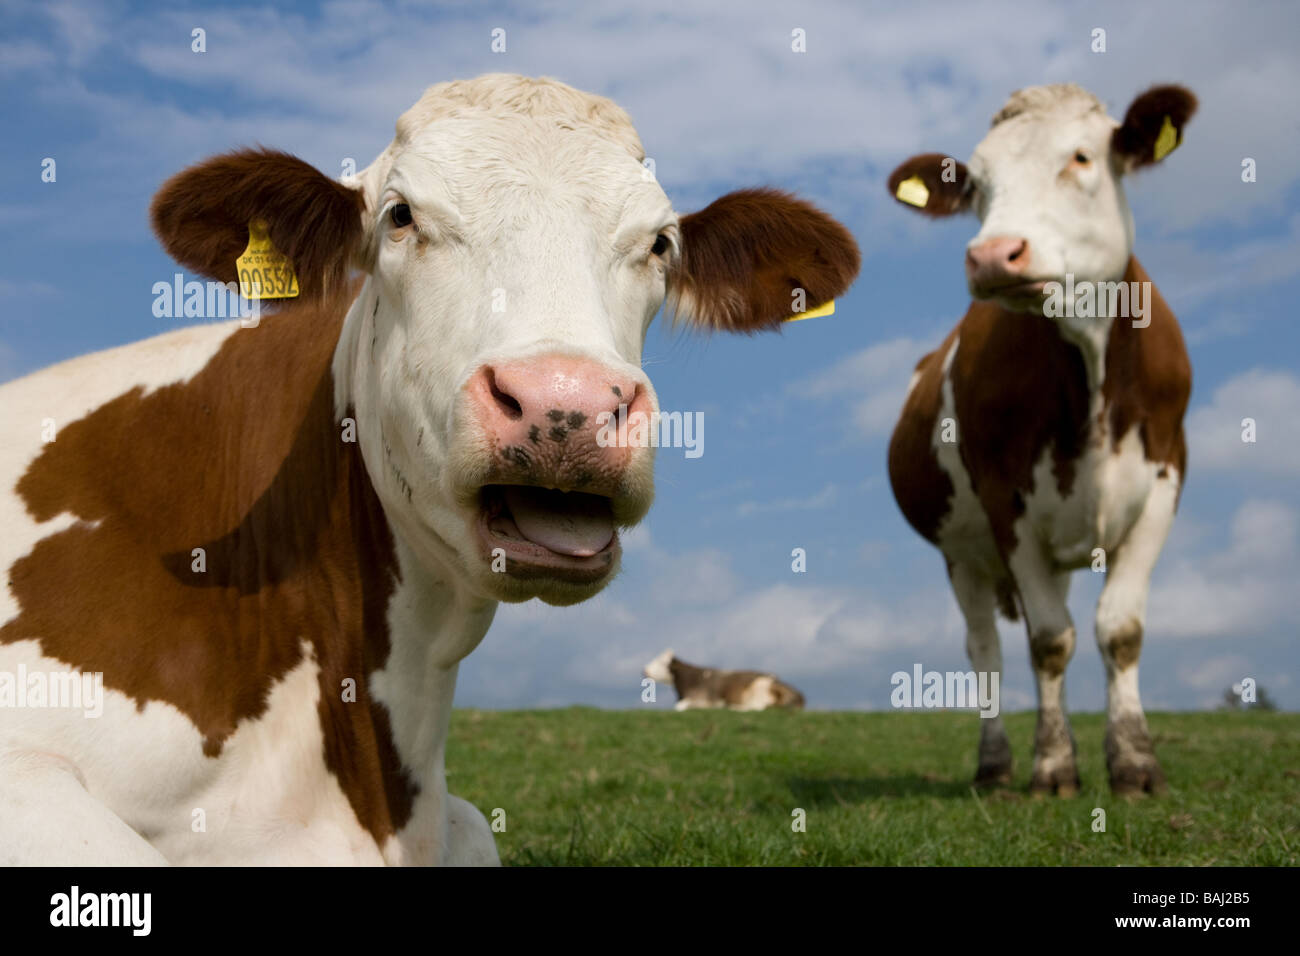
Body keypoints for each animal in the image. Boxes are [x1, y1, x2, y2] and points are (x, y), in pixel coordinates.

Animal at [885, 83, 1195, 796]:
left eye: (1081, 156)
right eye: (975, 184)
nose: (993, 255)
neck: (1090, 372)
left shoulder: (1162, 483)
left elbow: (1120, 631)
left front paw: (1135, 763)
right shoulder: (1008, 505)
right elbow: (1051, 640)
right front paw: (1053, 766)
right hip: (963, 555)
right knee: (989, 653)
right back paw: (996, 767)